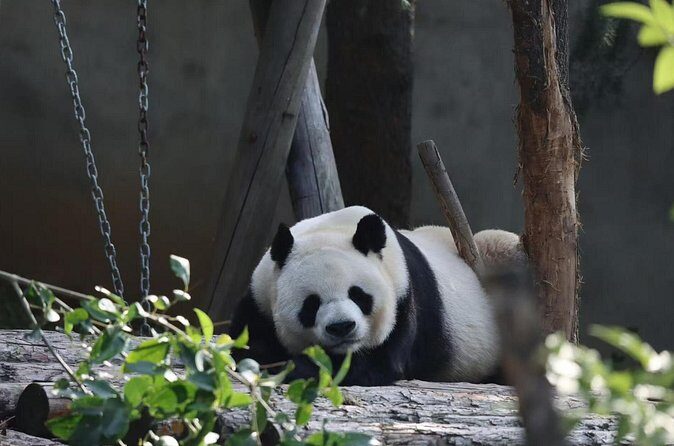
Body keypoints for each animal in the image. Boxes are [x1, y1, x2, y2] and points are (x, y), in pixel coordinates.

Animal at [230, 206, 521, 386]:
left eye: (358, 295)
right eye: (311, 304)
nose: (342, 327)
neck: (332, 229)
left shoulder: (403, 297)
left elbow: (374, 364)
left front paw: (299, 367)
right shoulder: (261, 295)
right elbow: (245, 343)